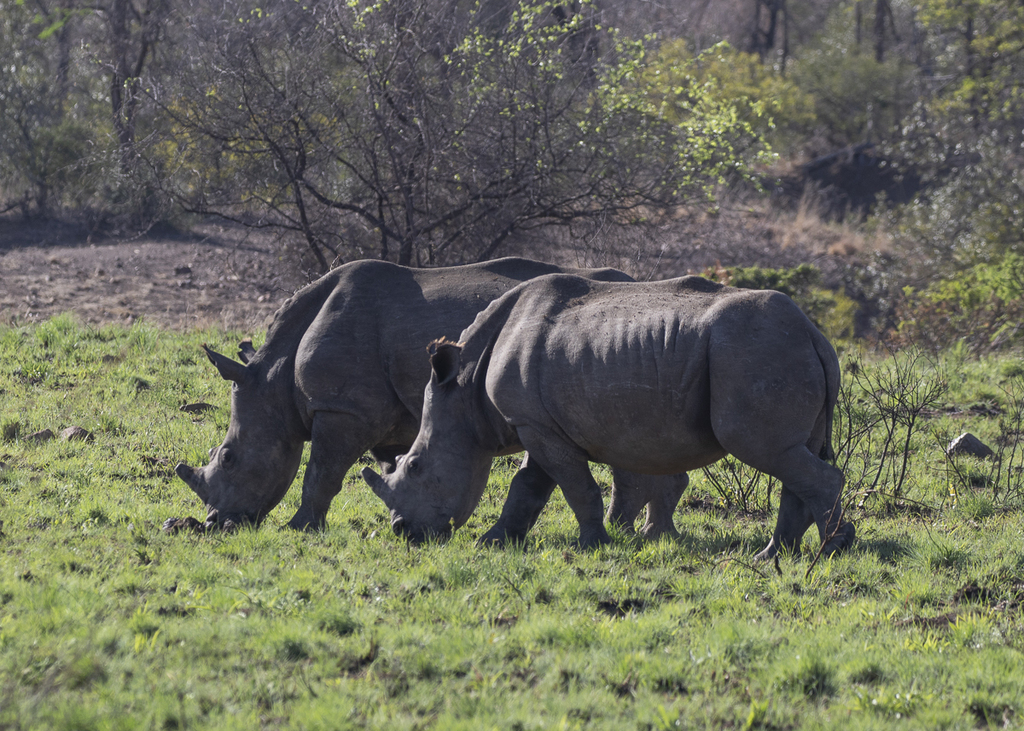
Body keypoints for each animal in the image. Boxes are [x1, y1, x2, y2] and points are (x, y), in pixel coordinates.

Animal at [173, 258, 687, 538]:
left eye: (228, 458)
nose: (216, 521)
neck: (274, 380)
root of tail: (635, 282)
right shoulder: (392, 419)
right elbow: (392, 468)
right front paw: (400, 517)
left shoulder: (342, 408)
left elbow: (322, 471)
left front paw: (300, 527)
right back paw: (651, 534)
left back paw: (634, 532)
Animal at [363, 273, 856, 559]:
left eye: (415, 465)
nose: (404, 532)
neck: (464, 391)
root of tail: (814, 332)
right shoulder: (536, 422)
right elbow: (528, 486)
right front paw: (495, 542)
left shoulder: (537, 425)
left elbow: (574, 486)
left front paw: (592, 546)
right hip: (774, 348)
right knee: (792, 454)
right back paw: (775, 555)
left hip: (754, 351)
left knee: (765, 448)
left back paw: (833, 549)